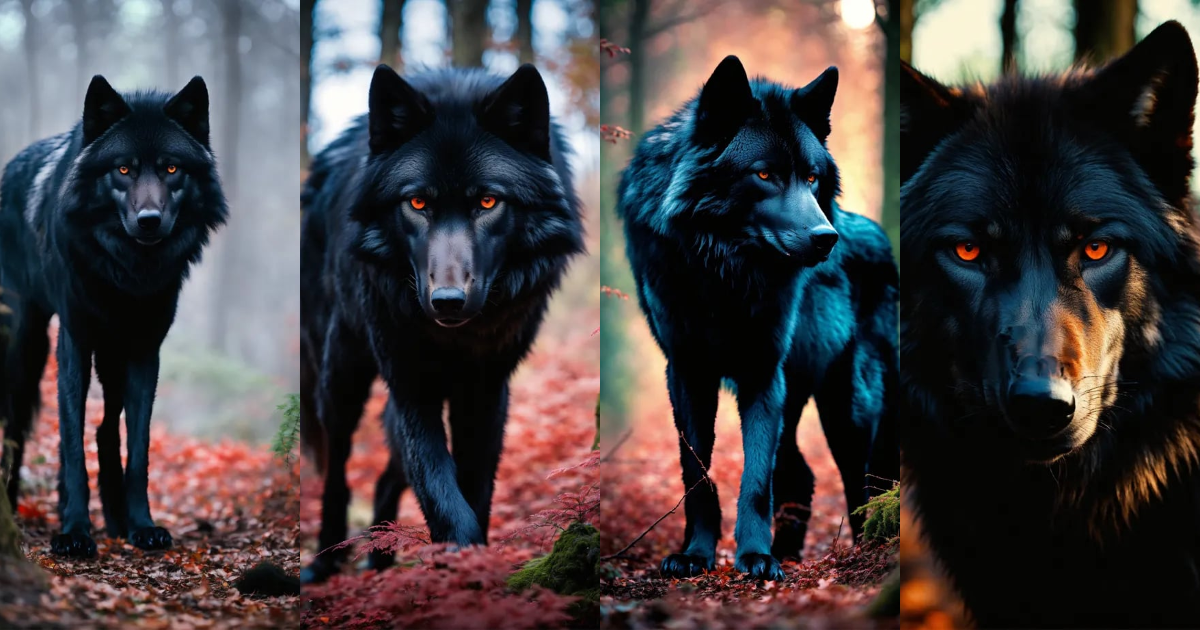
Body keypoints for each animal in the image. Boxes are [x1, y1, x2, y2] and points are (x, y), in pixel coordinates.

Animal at [0, 75, 226, 558]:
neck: (126, 272)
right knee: (15, 423)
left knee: (106, 430)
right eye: (123, 170)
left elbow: (137, 451)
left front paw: (142, 525)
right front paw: (74, 531)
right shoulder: (74, 341)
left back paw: (116, 518)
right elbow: (71, 443)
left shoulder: (145, 349)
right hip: (27, 345)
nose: (149, 220)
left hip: (111, 356)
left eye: (171, 169)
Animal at [299, 64, 584, 583]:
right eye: (417, 203)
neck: (457, 340)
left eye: (488, 202)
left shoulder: (486, 390)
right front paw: (461, 567)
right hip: (340, 375)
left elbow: (473, 488)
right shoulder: (411, 383)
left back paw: (380, 559)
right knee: (338, 464)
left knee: (388, 474)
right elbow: (441, 492)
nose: (447, 301)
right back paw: (325, 560)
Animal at [618, 55, 899, 581]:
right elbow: (697, 473)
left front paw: (755, 557)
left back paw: (863, 551)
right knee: (802, 474)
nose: (826, 238)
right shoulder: (687, 371)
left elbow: (755, 478)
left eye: (811, 178)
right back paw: (791, 550)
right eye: (764, 174)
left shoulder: (764, 370)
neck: (725, 273)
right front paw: (695, 555)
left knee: (863, 477)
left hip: (849, 405)